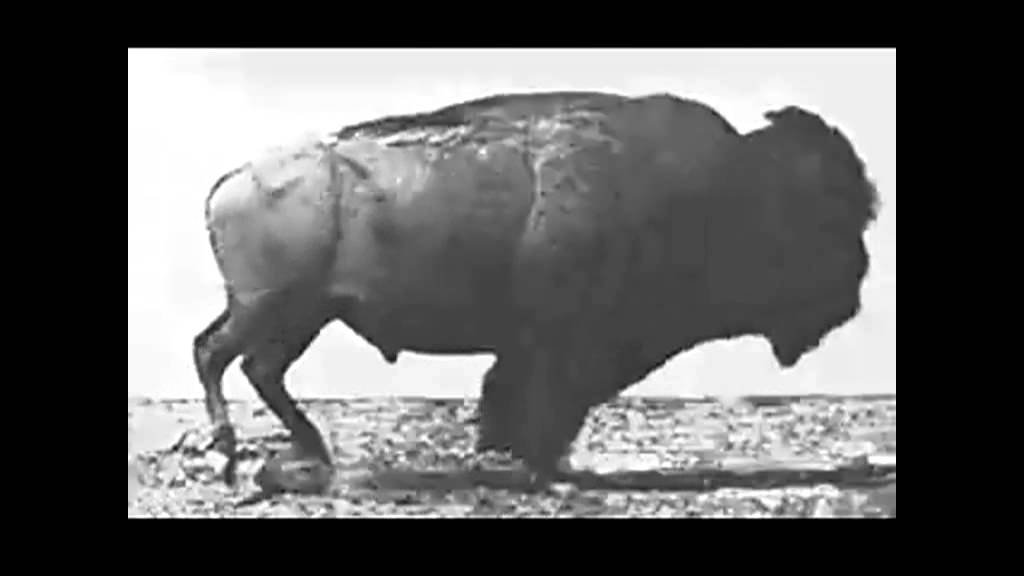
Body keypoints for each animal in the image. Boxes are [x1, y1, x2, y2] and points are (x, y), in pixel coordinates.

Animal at [193, 90, 880, 495]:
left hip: (299, 316)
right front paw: (541, 468)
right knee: (221, 356)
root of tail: (233, 179)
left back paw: (297, 454)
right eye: (824, 219)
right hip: (277, 309)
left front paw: (524, 459)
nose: (853, 291)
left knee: (247, 364)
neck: (728, 190)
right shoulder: (563, 343)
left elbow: (516, 396)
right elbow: (542, 402)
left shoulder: (540, 347)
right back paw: (238, 455)